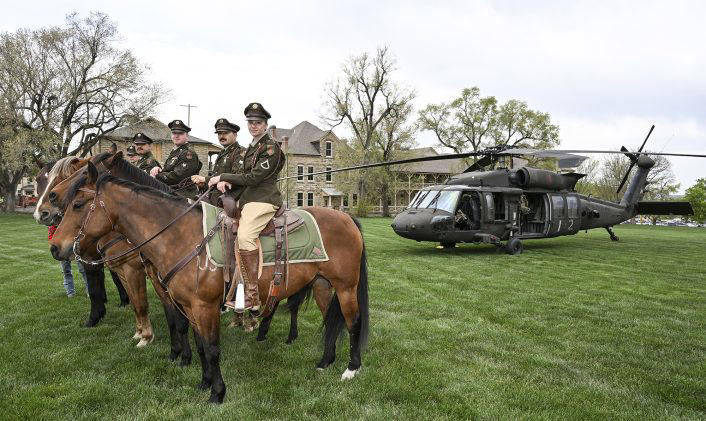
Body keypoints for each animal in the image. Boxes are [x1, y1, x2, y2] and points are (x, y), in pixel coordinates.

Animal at [48, 162, 369, 403]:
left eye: (78, 203)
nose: (55, 247)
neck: (180, 235)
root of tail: (347, 219)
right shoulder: (188, 305)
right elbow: (200, 344)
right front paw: (203, 381)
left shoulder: (205, 306)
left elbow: (212, 348)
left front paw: (217, 393)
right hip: (322, 285)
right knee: (331, 321)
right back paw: (325, 361)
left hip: (346, 287)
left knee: (352, 323)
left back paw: (351, 369)